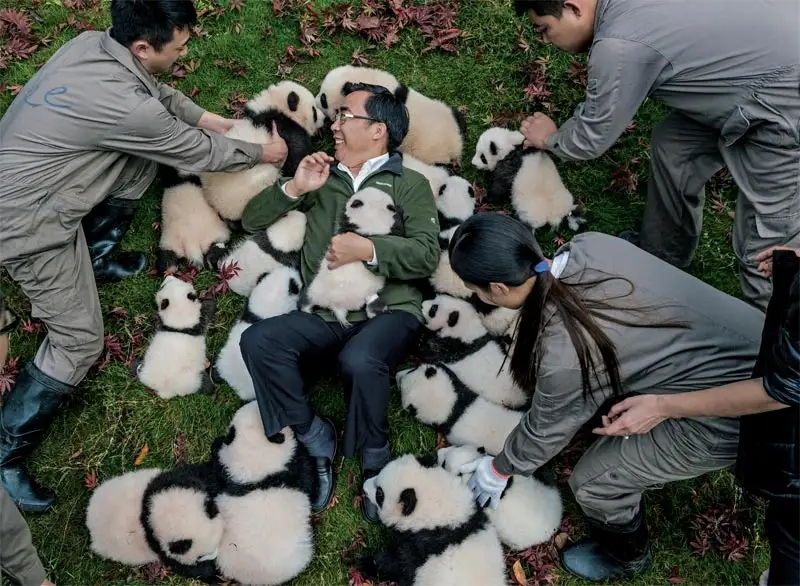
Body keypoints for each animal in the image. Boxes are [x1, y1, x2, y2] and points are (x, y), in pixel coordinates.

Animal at [300, 187, 404, 327]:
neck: (370, 217)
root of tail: (333, 304)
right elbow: (399, 231)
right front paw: (399, 210)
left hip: (365, 292)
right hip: (317, 287)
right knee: (309, 297)